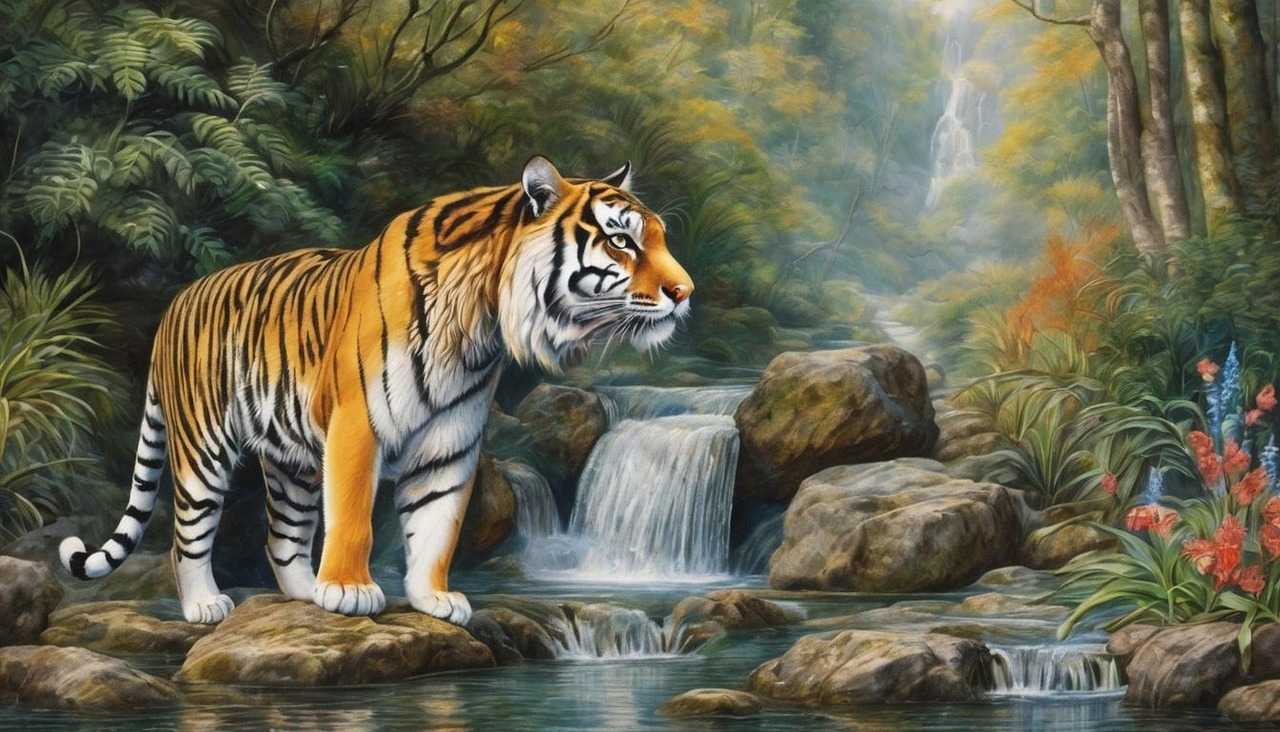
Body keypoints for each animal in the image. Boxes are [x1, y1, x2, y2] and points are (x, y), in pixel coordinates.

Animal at [59, 156, 693, 625]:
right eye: (621, 242)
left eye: (659, 238)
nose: (685, 292)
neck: (479, 324)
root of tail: (176, 304)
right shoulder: (356, 423)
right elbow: (354, 516)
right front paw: (349, 589)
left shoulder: (450, 440)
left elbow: (438, 524)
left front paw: (433, 598)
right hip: (203, 448)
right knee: (186, 535)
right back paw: (205, 605)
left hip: (291, 463)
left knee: (281, 537)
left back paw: (304, 591)